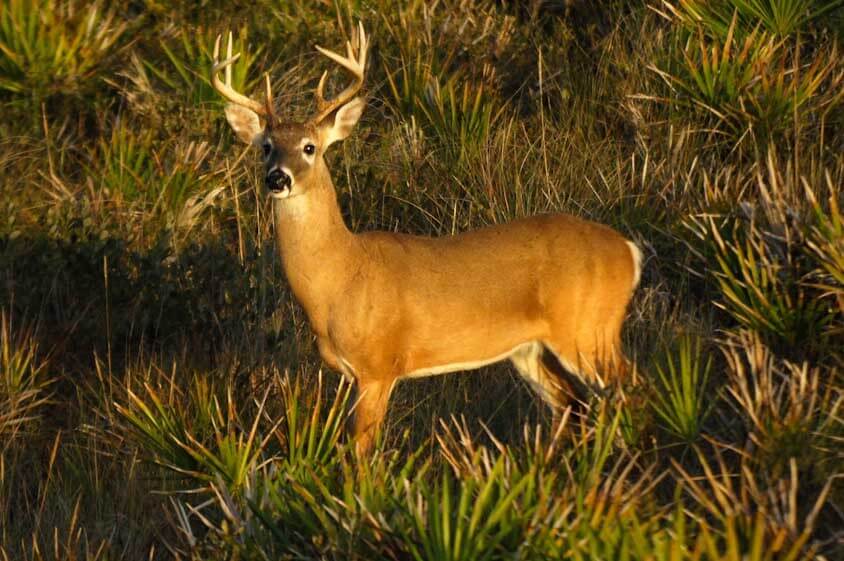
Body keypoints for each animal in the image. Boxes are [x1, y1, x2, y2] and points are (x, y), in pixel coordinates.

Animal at [210, 24, 643, 455]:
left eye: (309, 147)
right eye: (266, 147)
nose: (277, 178)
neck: (341, 276)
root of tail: (628, 251)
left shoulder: (378, 367)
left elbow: (361, 453)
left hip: (590, 327)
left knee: (627, 388)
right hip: (531, 348)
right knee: (571, 403)